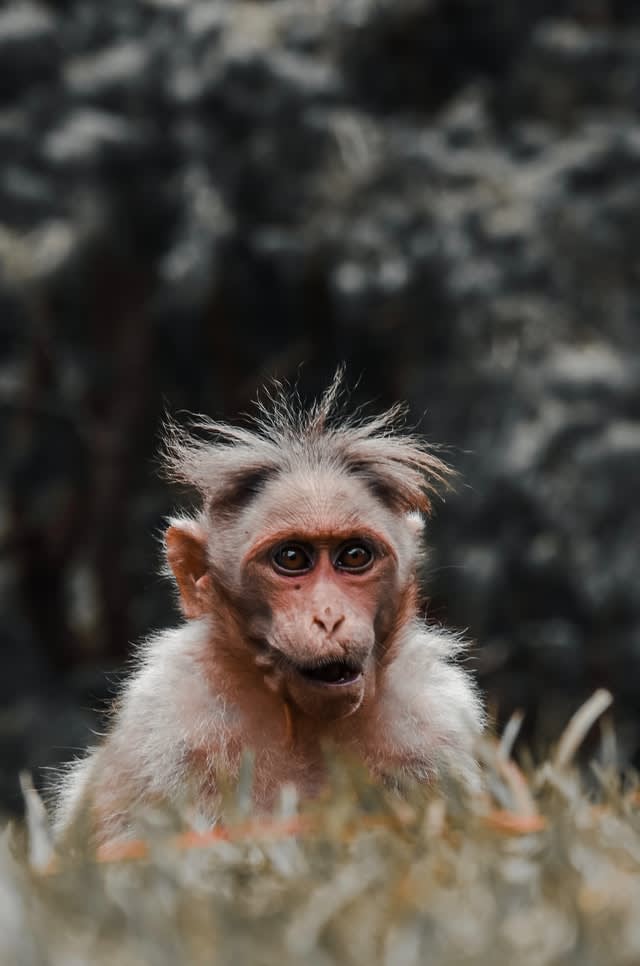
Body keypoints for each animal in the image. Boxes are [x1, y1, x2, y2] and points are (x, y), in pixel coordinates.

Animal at [52, 375, 484, 847]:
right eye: (292, 558)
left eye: (354, 556)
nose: (328, 617)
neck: (303, 723)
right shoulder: (166, 728)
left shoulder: (434, 726)